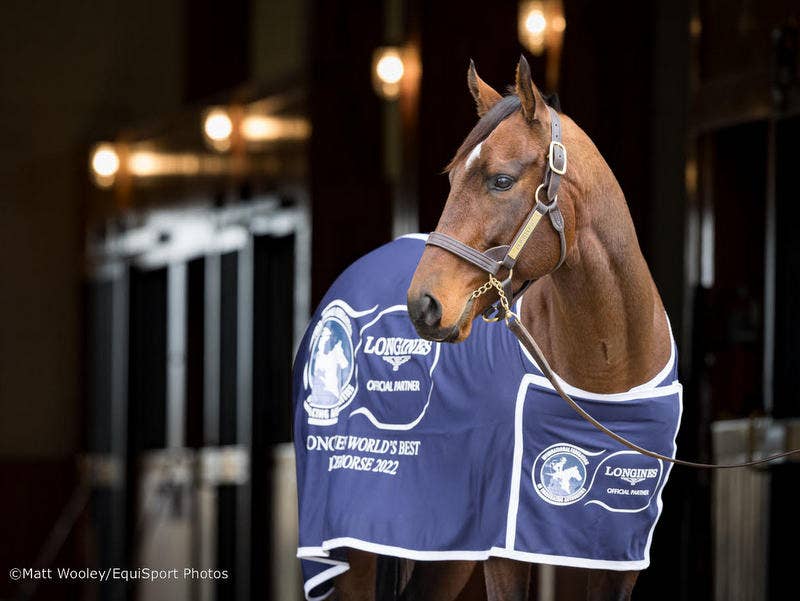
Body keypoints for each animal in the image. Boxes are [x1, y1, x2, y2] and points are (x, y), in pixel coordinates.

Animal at [299, 56, 676, 601]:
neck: (608, 369)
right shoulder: (504, 550)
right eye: (453, 177)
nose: (424, 305)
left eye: (500, 180)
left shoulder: (615, 554)